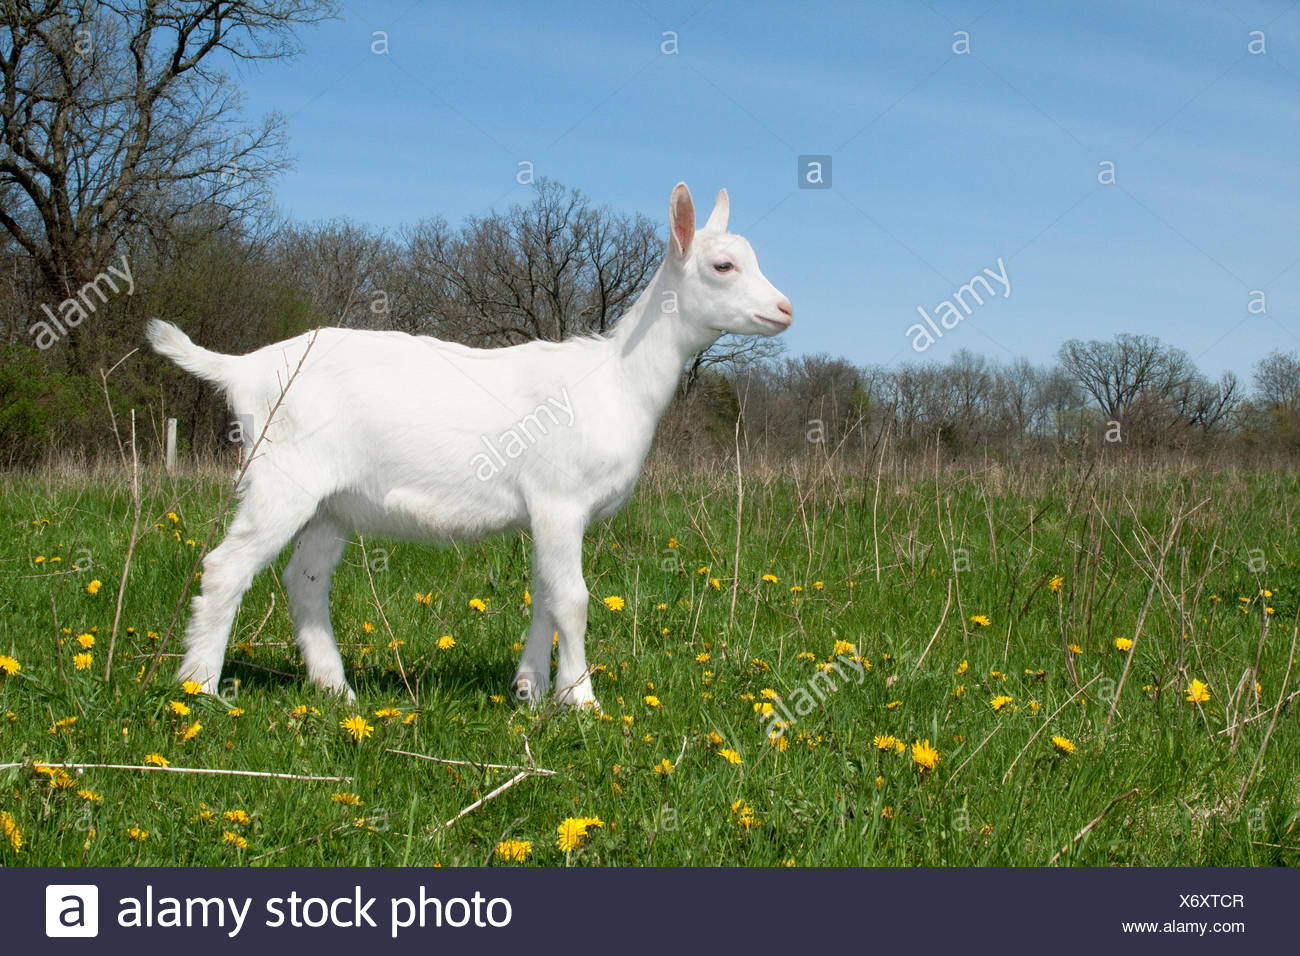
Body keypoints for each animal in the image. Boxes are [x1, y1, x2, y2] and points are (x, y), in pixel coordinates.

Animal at [146, 183, 791, 709]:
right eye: (723, 265)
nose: (785, 308)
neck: (616, 377)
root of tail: (241, 368)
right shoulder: (560, 500)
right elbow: (573, 598)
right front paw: (583, 702)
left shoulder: (547, 513)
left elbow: (544, 594)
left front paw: (532, 690)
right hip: (281, 476)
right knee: (225, 567)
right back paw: (198, 688)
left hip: (331, 504)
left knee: (305, 581)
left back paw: (336, 690)